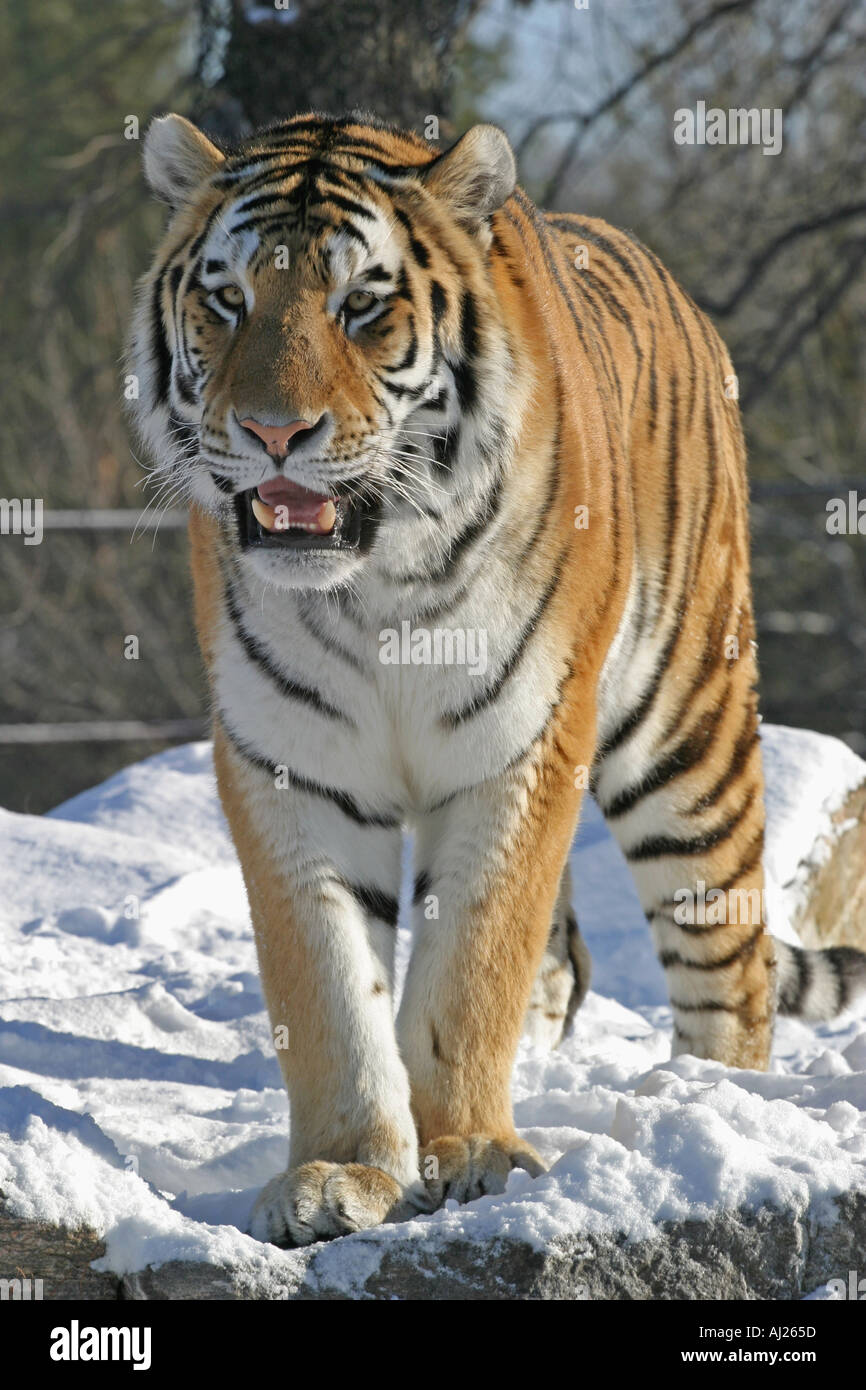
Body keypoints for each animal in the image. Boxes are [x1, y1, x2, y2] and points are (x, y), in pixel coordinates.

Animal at [129, 110, 866, 1247]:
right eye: (227, 300)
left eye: (361, 304)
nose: (271, 432)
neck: (373, 584)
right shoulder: (287, 760)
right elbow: (329, 989)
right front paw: (341, 1172)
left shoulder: (520, 742)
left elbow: (472, 964)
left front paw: (472, 1155)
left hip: (687, 736)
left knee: (729, 967)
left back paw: (710, 1114)